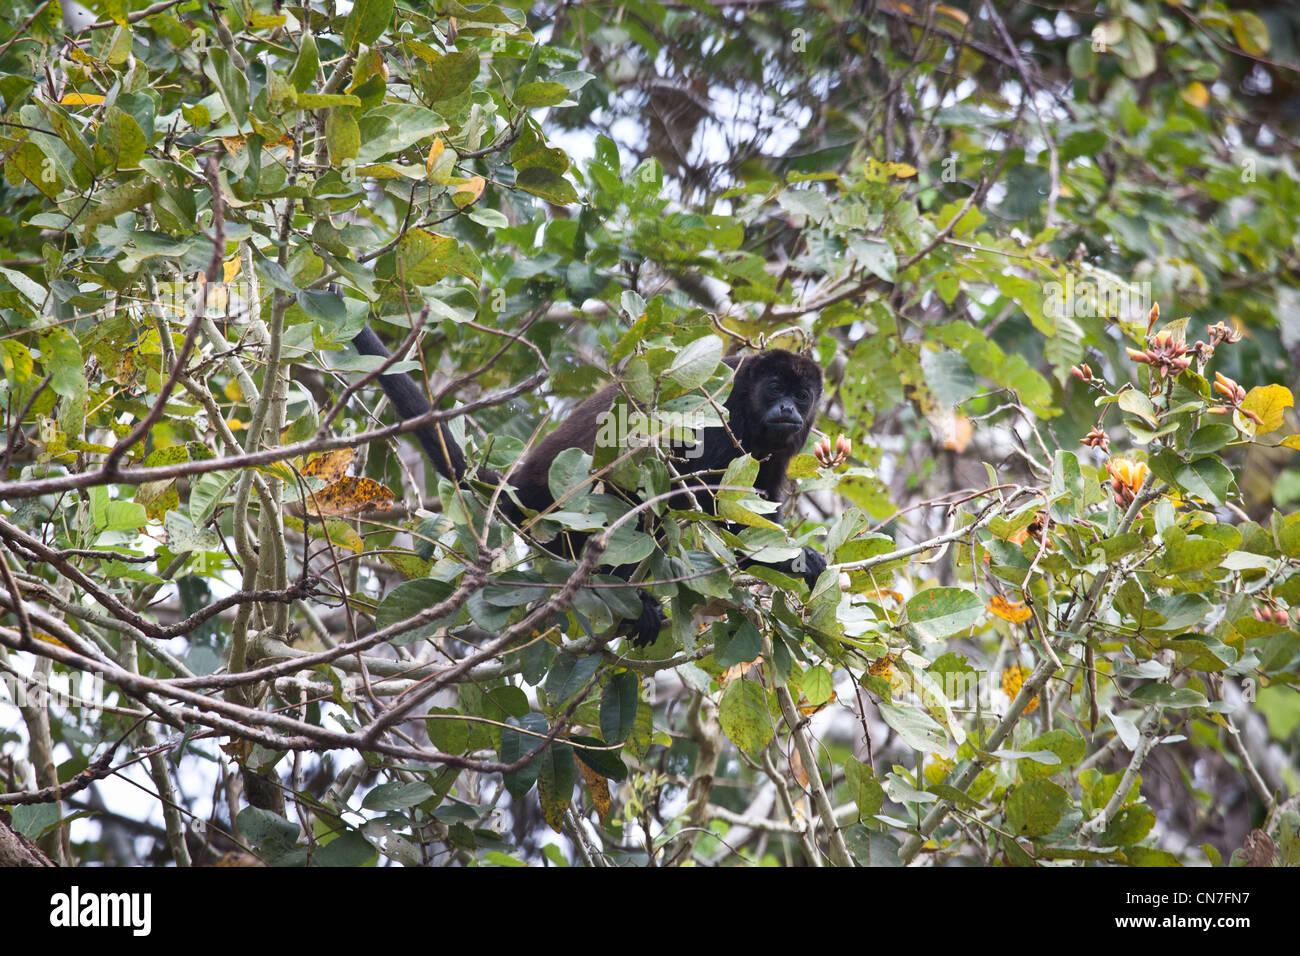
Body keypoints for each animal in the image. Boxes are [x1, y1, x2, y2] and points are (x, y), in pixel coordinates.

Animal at [352, 326, 826, 645]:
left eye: (802, 395)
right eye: (775, 388)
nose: (789, 408)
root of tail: (520, 489)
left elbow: (754, 515)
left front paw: (802, 561)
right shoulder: (717, 416)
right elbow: (694, 504)